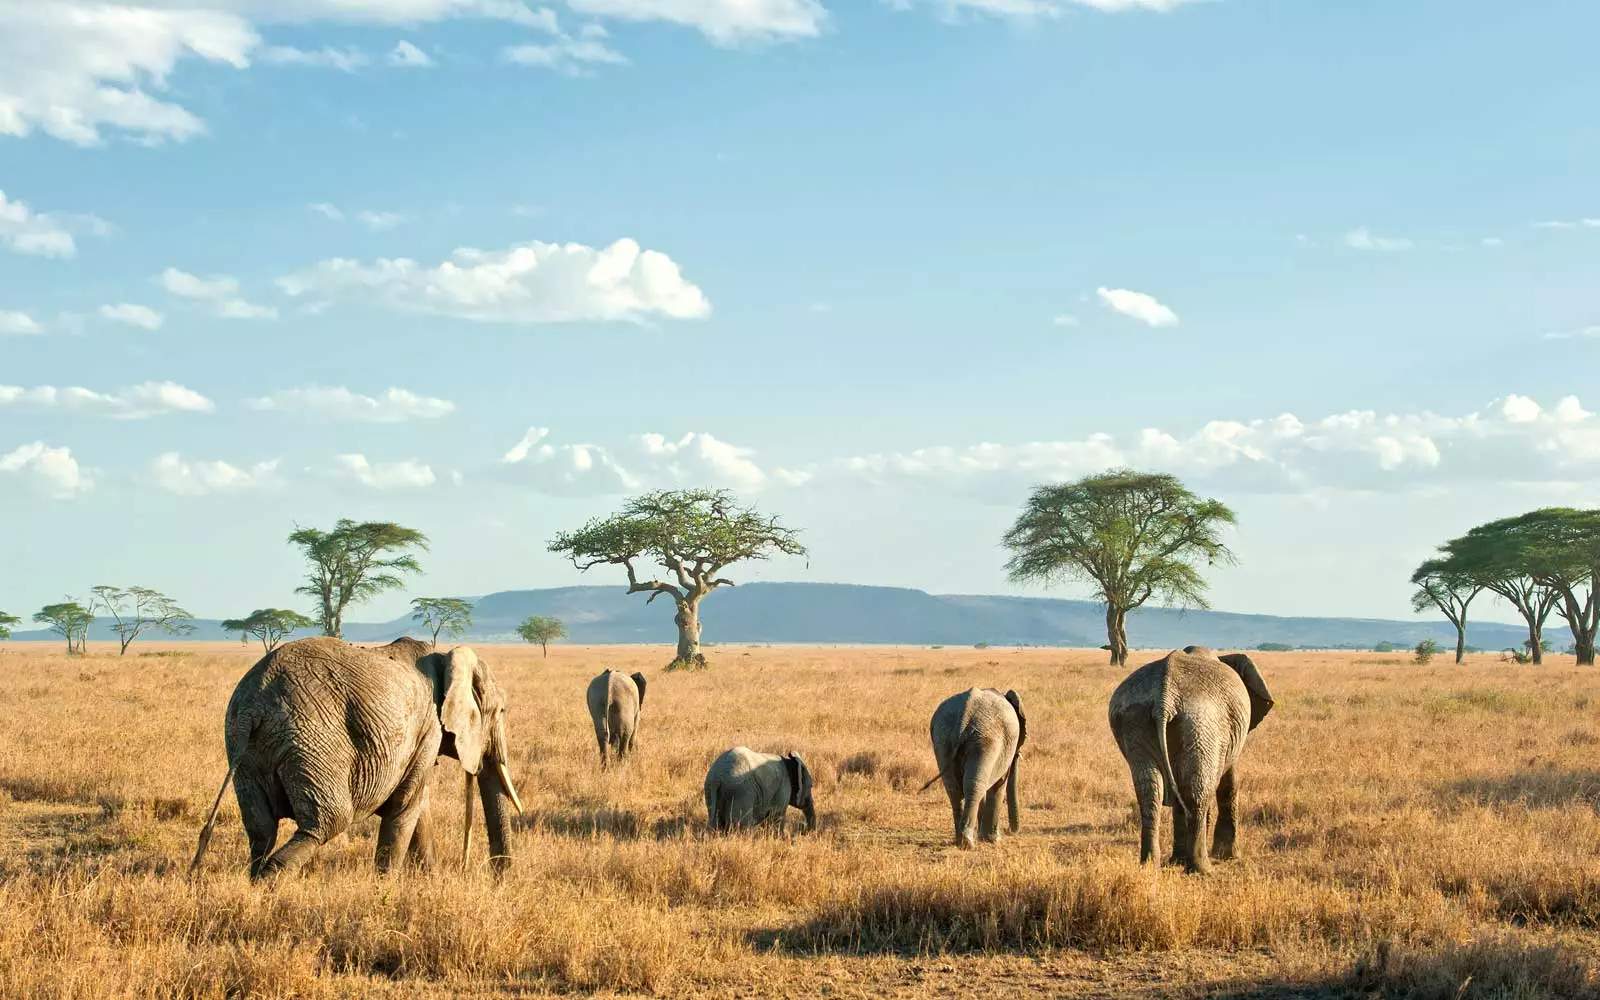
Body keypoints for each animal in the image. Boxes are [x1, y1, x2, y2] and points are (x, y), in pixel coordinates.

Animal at [190, 636, 521, 876]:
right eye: (501, 711)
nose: (499, 879)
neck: (445, 658)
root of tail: (255, 705)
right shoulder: (428, 728)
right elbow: (405, 806)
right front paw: (385, 887)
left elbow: (417, 807)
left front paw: (429, 882)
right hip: (313, 740)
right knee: (327, 822)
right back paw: (270, 886)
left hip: (243, 748)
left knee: (261, 831)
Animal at [928, 684, 1024, 851]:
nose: (1009, 830)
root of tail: (964, 716)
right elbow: (999, 786)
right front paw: (994, 840)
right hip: (985, 740)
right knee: (974, 786)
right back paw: (968, 843)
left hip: (943, 738)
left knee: (953, 788)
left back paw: (960, 840)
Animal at [1113, 643, 1273, 870]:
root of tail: (1164, 700)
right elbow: (1228, 783)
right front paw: (1228, 856)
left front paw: (1177, 861)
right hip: (1201, 722)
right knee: (1197, 791)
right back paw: (1202, 869)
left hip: (1135, 718)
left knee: (1149, 791)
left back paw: (1149, 866)